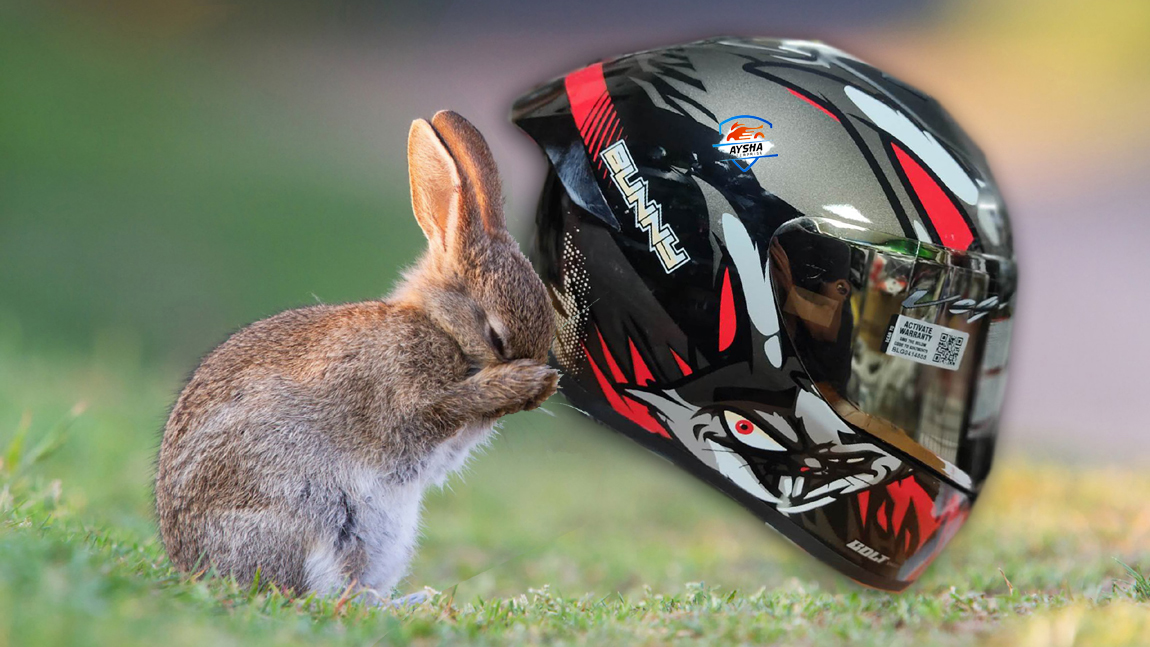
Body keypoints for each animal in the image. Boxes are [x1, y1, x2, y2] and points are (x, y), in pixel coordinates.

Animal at [154, 110, 558, 598]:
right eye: (497, 338)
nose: (538, 393)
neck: (439, 326)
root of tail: (192, 566)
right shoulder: (404, 398)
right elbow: (439, 410)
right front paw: (521, 382)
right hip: (308, 515)